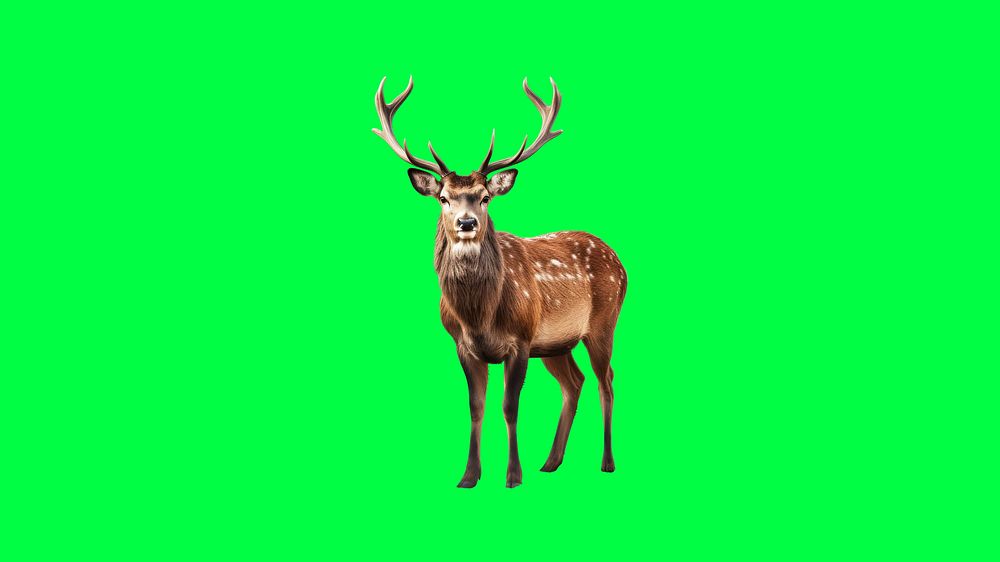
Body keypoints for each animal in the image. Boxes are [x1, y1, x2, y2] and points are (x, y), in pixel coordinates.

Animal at [373, 76, 626, 488]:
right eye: (443, 198)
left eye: (485, 197)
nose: (466, 223)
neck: (479, 314)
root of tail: (619, 260)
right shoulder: (464, 346)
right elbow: (476, 407)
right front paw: (469, 476)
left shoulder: (520, 340)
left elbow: (510, 407)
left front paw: (513, 476)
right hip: (556, 344)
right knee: (574, 382)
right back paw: (551, 462)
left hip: (604, 322)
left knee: (607, 381)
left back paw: (606, 462)